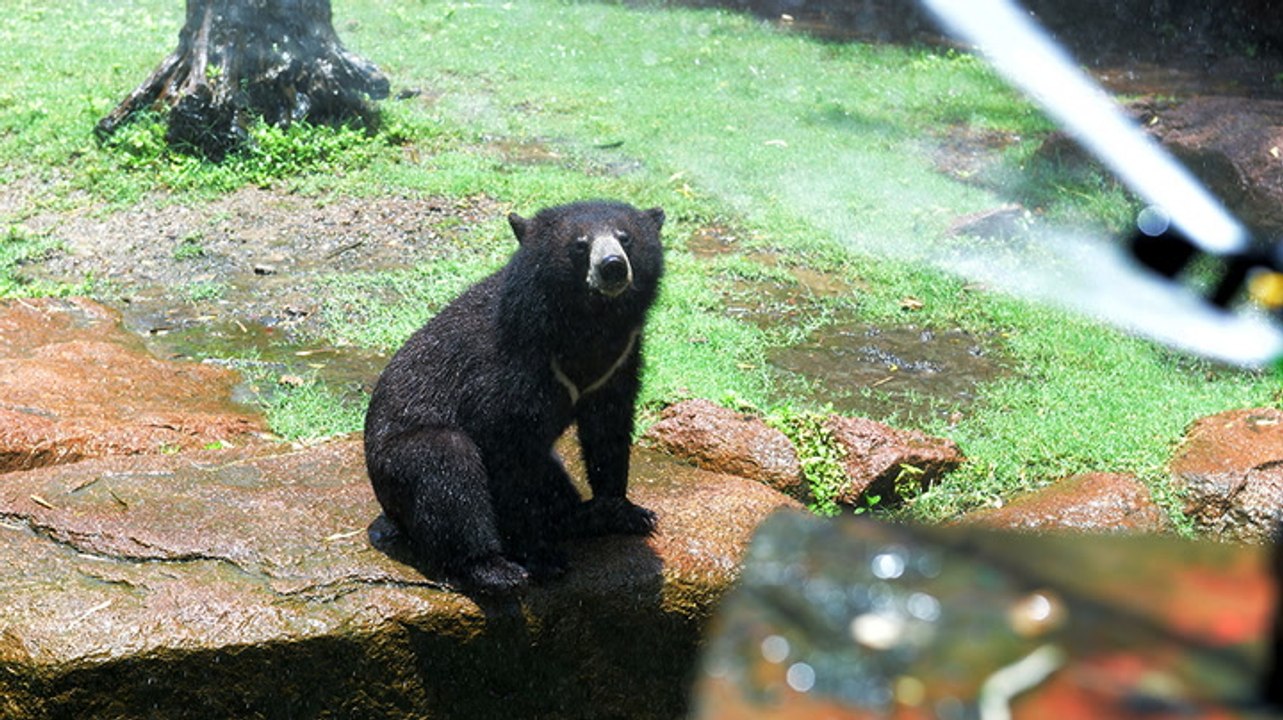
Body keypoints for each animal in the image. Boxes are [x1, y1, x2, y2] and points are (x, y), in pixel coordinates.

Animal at [363, 200, 665, 595]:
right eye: (580, 245)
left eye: (625, 238)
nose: (613, 266)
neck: (588, 324)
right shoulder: (511, 366)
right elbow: (504, 448)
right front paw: (541, 557)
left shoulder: (619, 361)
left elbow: (608, 430)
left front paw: (628, 512)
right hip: (398, 462)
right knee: (446, 468)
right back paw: (495, 570)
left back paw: (583, 515)